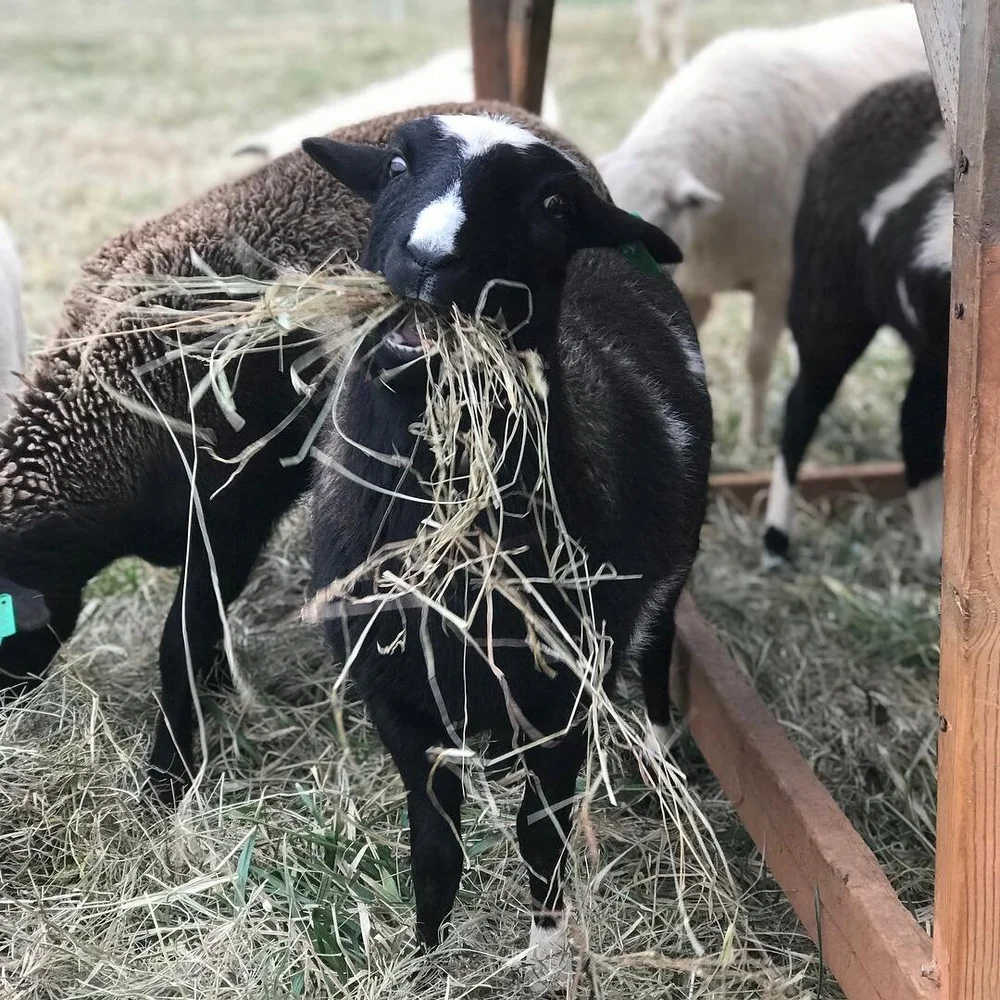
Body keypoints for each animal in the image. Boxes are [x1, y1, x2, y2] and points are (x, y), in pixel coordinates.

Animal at [303, 112, 712, 981]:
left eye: (552, 206)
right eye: (396, 166)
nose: (430, 256)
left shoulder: (565, 696)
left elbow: (540, 837)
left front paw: (548, 958)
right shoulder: (395, 697)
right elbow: (434, 848)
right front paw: (423, 958)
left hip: (667, 571)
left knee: (659, 649)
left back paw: (661, 753)